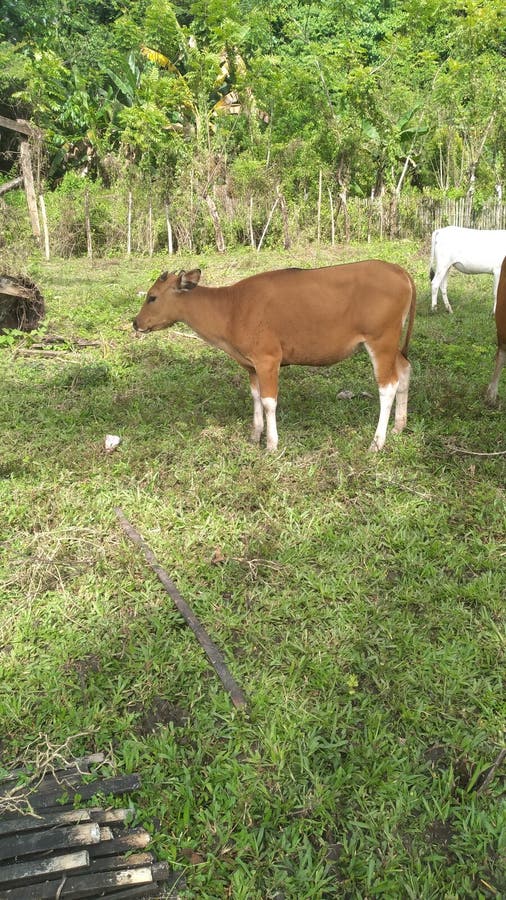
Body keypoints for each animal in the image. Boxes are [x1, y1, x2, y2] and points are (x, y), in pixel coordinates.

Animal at [133, 260, 416, 452]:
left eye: (152, 297)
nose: (136, 322)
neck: (232, 307)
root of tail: (399, 271)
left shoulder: (268, 360)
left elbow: (269, 401)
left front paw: (271, 443)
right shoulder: (251, 366)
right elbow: (255, 397)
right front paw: (254, 435)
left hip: (381, 341)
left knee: (387, 386)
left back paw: (377, 442)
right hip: (392, 345)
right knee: (405, 370)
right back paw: (399, 426)